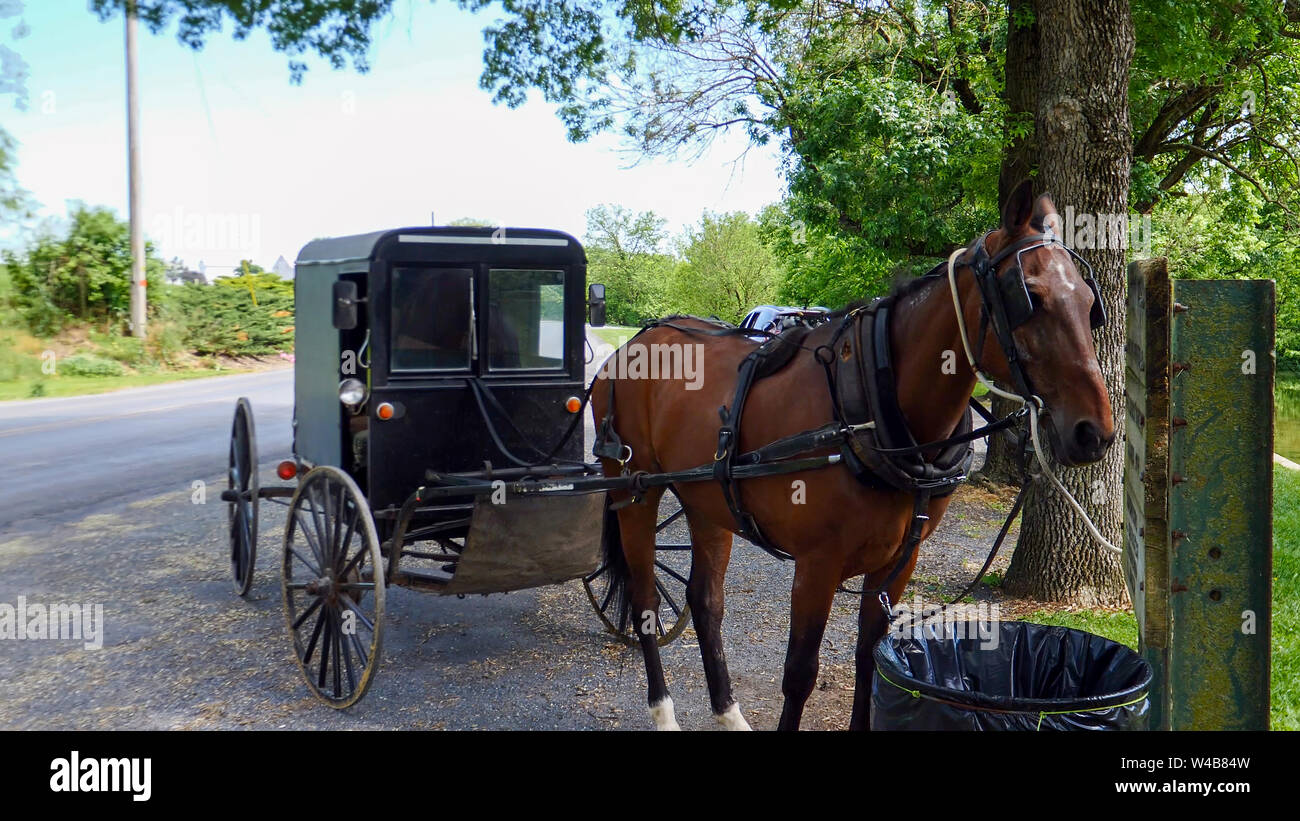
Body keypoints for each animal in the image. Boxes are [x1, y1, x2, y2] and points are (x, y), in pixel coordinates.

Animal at [590, 180, 1116, 730]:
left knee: (705, 602)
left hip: (706, 501)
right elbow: (800, 674)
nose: (1094, 432)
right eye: (1029, 297)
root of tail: (631, 346)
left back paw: (729, 714)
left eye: (1088, 301)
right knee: (646, 602)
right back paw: (663, 712)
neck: (872, 405)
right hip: (634, 494)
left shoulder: (896, 564)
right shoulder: (817, 565)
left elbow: (870, 657)